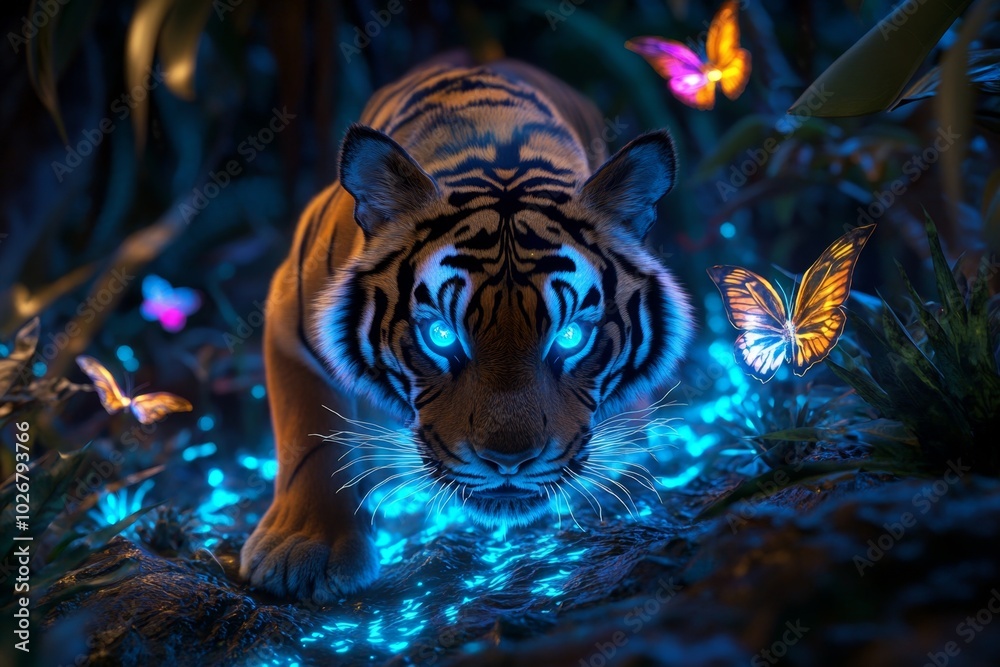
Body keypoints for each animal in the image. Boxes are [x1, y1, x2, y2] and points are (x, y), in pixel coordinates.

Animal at [240, 52, 693, 603]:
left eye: (570, 337)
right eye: (441, 336)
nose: (508, 462)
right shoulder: (290, 315)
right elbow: (312, 436)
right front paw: (305, 549)